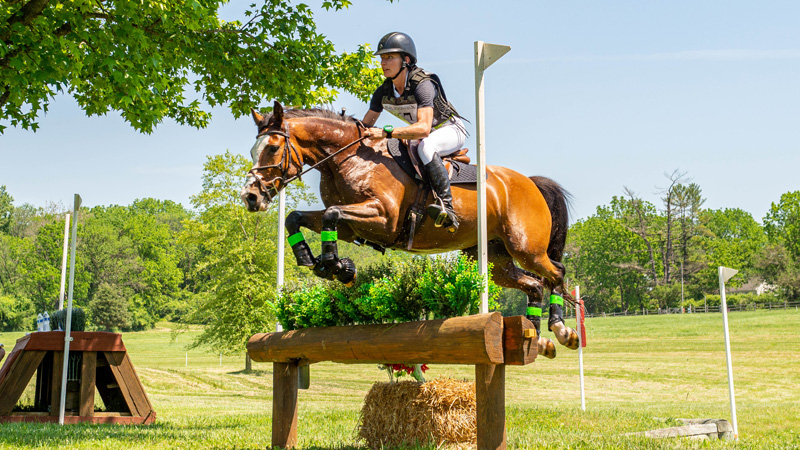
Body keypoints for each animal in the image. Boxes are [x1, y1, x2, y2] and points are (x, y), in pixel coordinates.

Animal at [240, 101, 579, 357]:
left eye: (272, 148)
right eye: (252, 151)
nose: (250, 197)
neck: (346, 158)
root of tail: (530, 182)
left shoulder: (383, 219)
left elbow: (331, 215)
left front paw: (336, 266)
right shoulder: (352, 228)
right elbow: (298, 218)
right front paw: (319, 262)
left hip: (526, 248)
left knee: (556, 273)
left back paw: (562, 330)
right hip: (495, 260)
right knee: (534, 285)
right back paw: (537, 338)